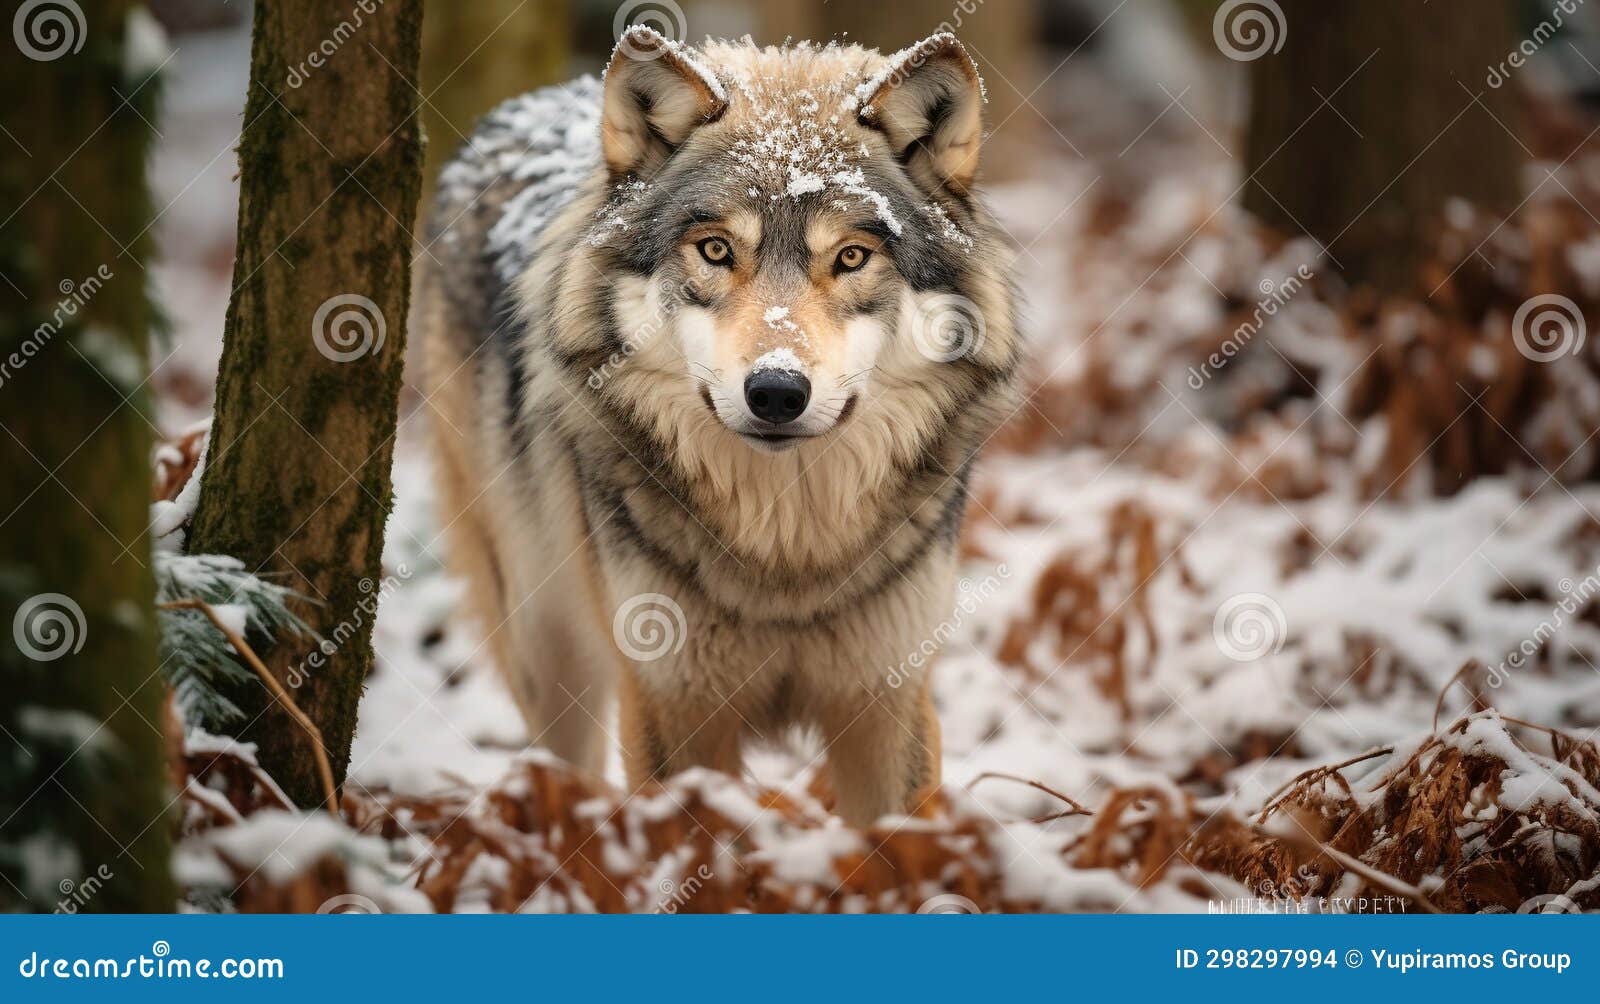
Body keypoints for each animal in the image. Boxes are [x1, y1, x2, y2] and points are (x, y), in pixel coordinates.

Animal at [417, 28, 1020, 826]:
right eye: (715, 250)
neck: (787, 553)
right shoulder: (674, 706)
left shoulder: (887, 701)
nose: (776, 392)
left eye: (851, 256)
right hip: (544, 644)